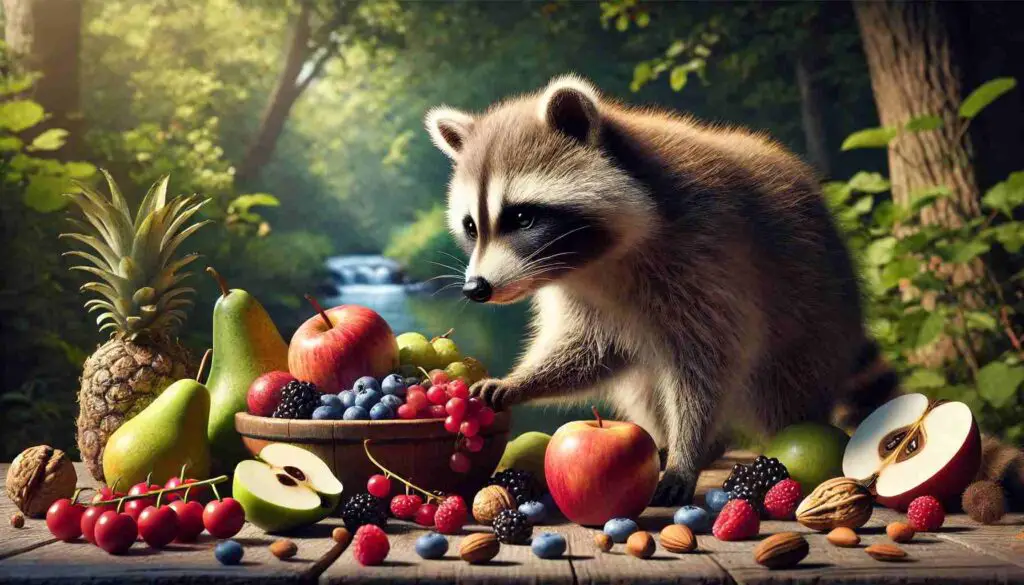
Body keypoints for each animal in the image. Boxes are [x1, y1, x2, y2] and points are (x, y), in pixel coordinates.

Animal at [425, 74, 1022, 506]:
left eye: (522, 216)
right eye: (472, 226)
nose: (476, 288)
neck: (596, 259)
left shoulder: (708, 253)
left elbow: (706, 364)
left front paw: (688, 452)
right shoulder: (579, 290)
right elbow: (593, 350)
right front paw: (520, 381)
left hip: (810, 320)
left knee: (780, 390)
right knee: (642, 376)